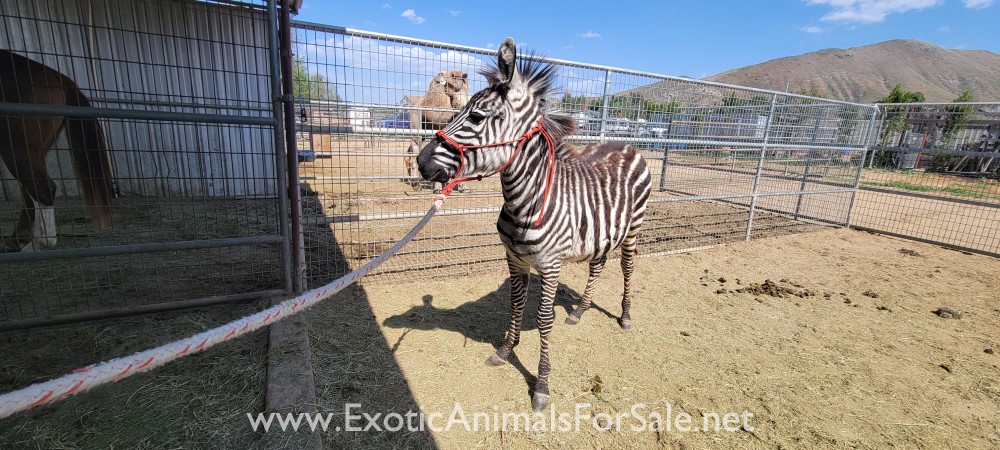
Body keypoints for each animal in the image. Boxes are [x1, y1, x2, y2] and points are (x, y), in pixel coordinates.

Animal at [416, 37, 652, 412]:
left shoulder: (551, 265)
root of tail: (626, 142)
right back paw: (579, 311)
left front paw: (542, 383)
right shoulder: (514, 259)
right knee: (597, 266)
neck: (523, 202)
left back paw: (626, 316)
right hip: (601, 232)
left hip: (633, 229)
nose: (421, 164)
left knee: (628, 269)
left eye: (476, 117)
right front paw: (504, 350)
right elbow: (515, 305)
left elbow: (543, 319)